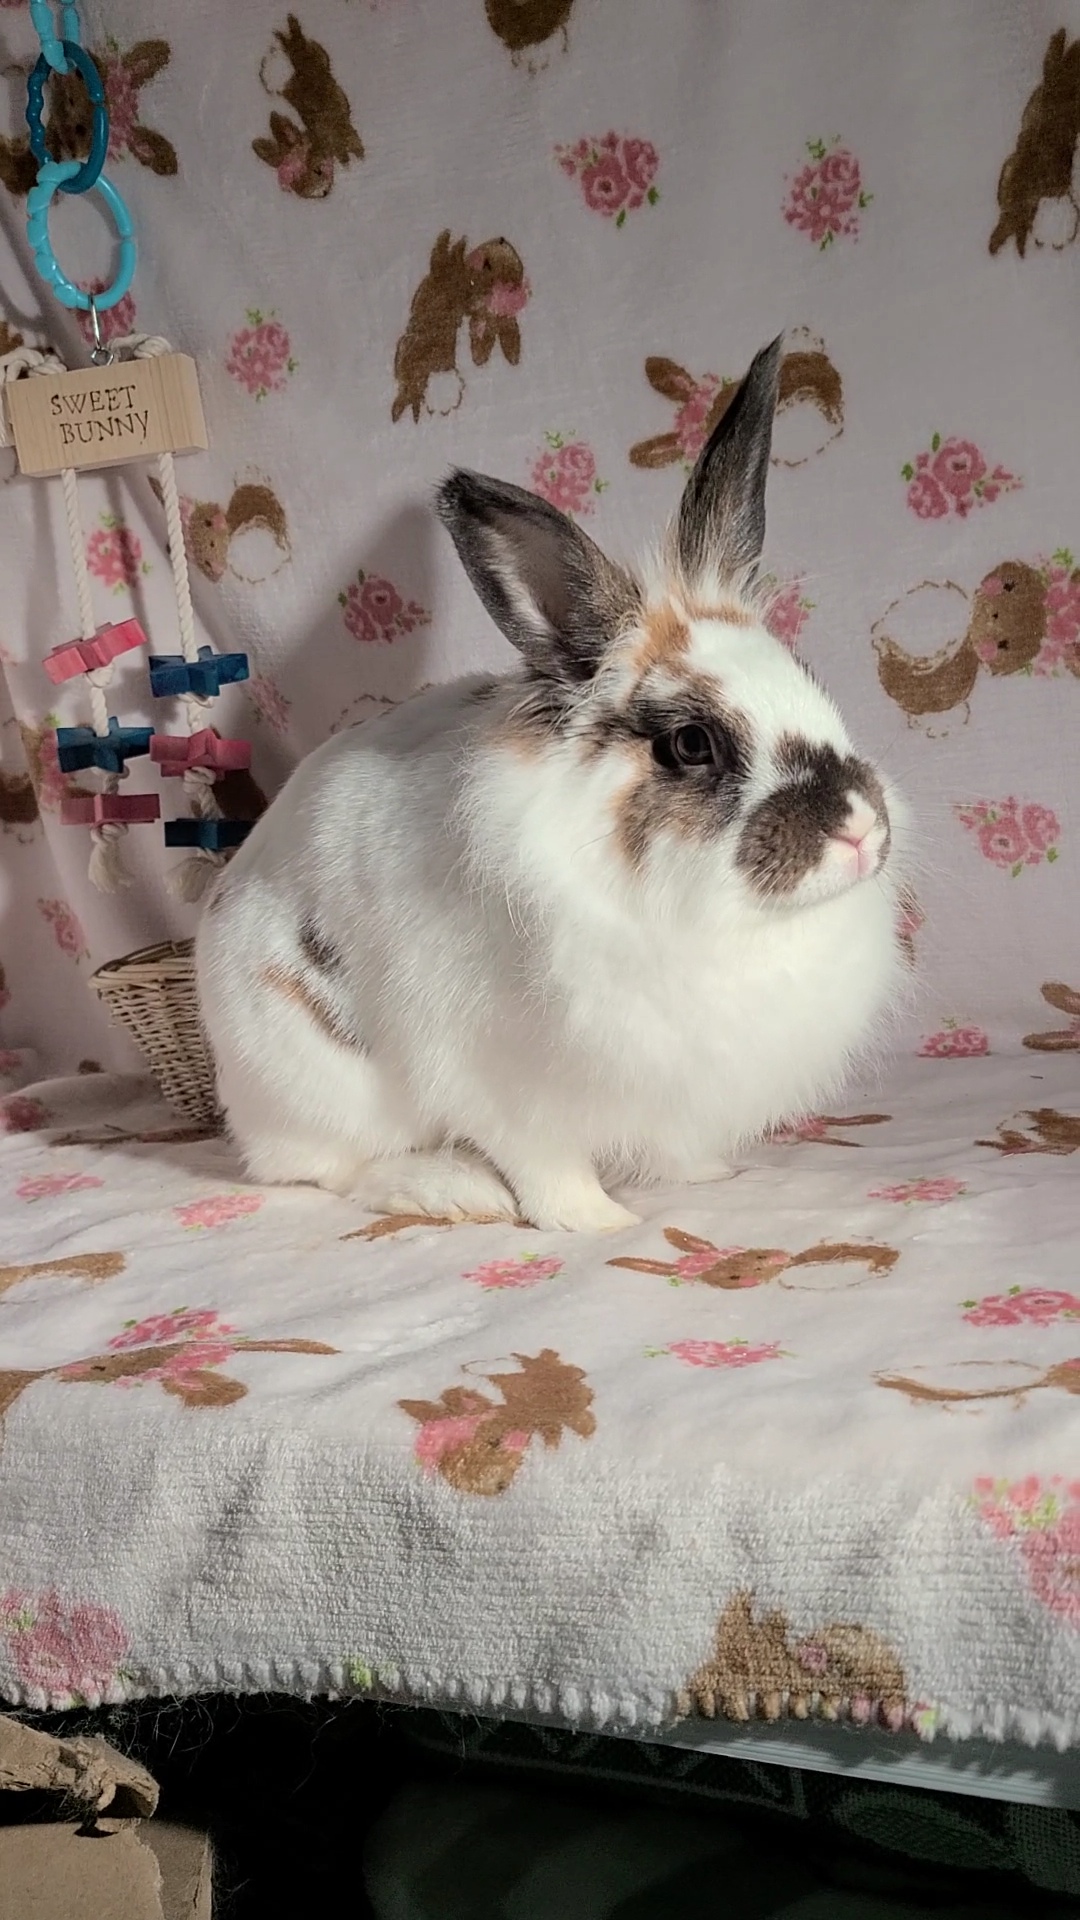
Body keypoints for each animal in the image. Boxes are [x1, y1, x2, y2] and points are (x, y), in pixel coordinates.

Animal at [197, 337, 909, 1234]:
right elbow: (546, 1168)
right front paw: (602, 1224)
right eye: (691, 744)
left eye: (810, 680)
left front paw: (708, 1174)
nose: (859, 828)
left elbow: (677, 1145)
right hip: (314, 1078)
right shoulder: (508, 1086)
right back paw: (450, 1188)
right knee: (328, 1170)